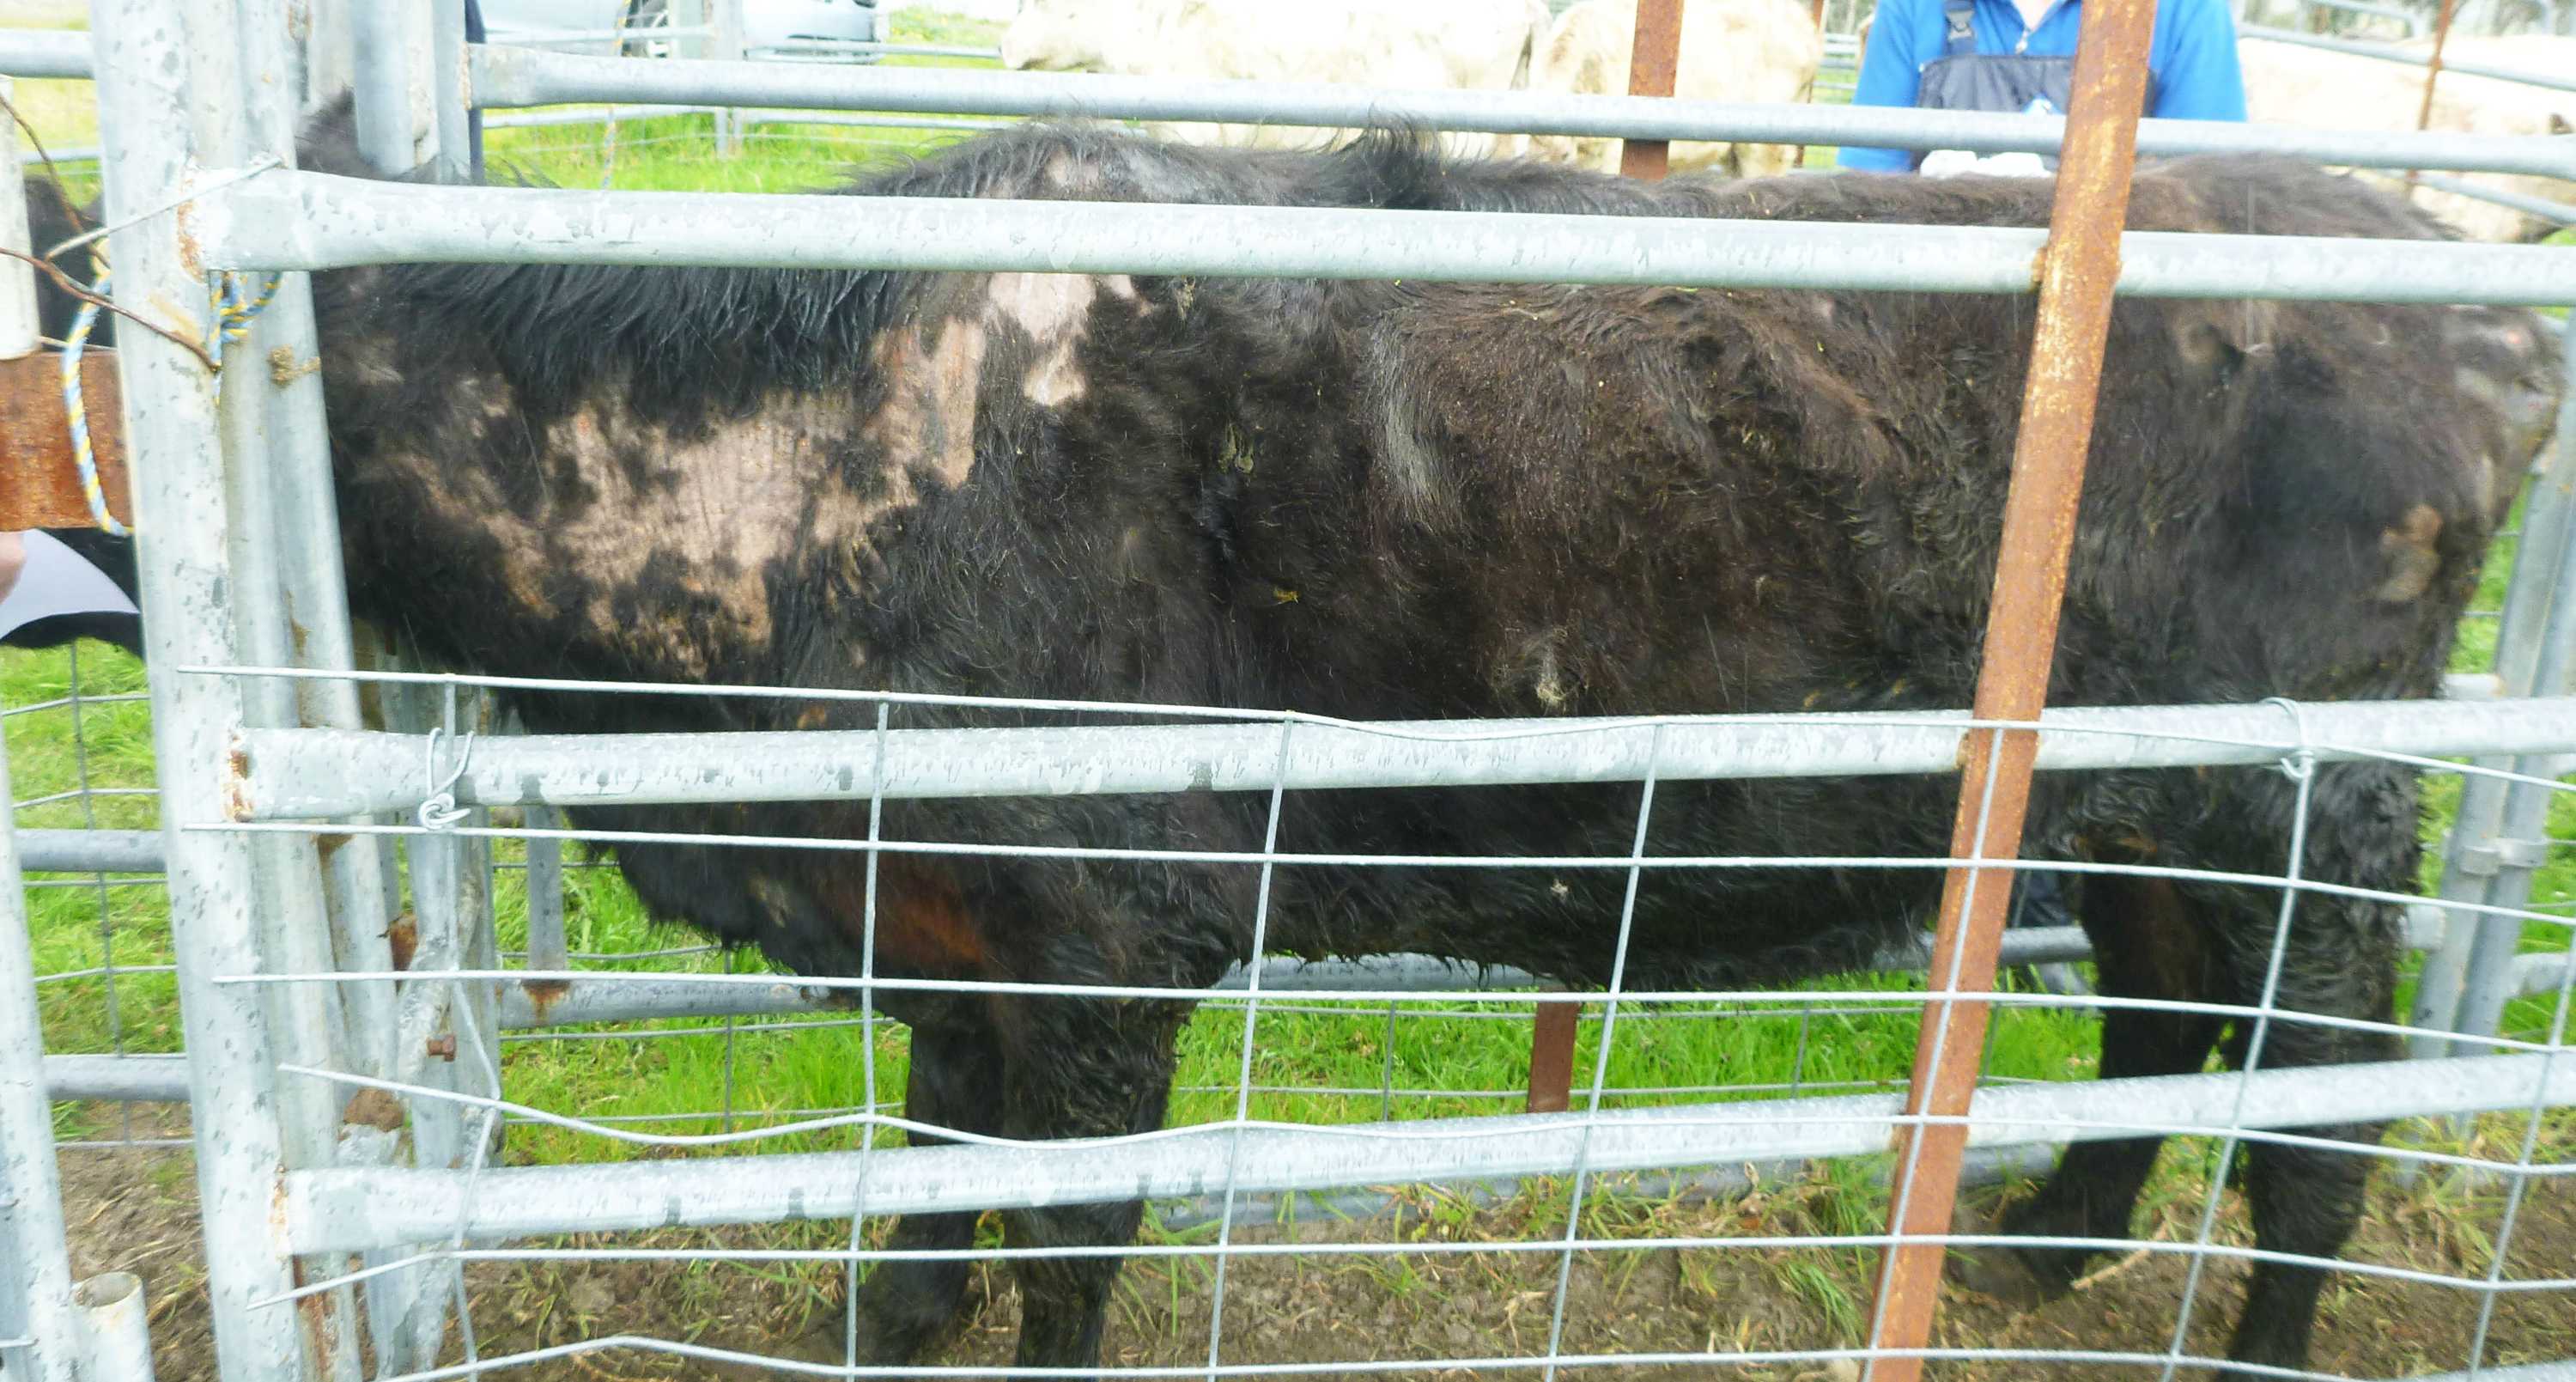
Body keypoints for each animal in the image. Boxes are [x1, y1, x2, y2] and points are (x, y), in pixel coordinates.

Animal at [59, 101, 2575, 1376]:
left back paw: (2241, 1336)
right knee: (2166, 1015)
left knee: (2320, 1092)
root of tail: (2449, 276)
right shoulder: (940, 919)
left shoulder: (1111, 931)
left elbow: (1061, 1231)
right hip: (2142, 803)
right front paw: (888, 1317)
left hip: (2313, 793)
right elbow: (927, 1167)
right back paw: (2037, 1252)